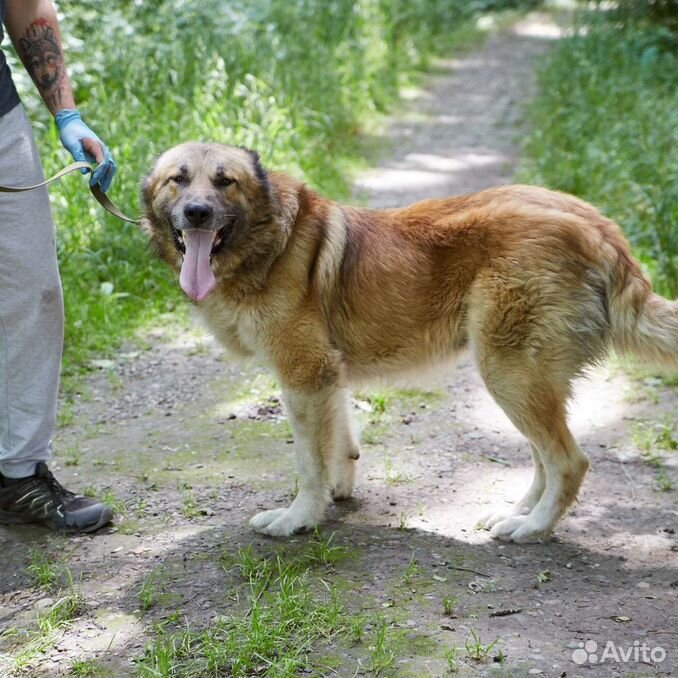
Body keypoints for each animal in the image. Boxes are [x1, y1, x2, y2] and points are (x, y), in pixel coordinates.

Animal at [139, 142, 678, 540]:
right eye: (178, 180)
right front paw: (338, 493)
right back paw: (517, 515)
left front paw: (298, 519)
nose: (197, 213)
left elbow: (309, 462)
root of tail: (598, 227)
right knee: (544, 458)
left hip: (510, 373)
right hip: (523, 378)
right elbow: (341, 443)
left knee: (569, 461)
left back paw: (533, 529)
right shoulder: (327, 378)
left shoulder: (304, 375)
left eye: (224, 181)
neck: (268, 238)